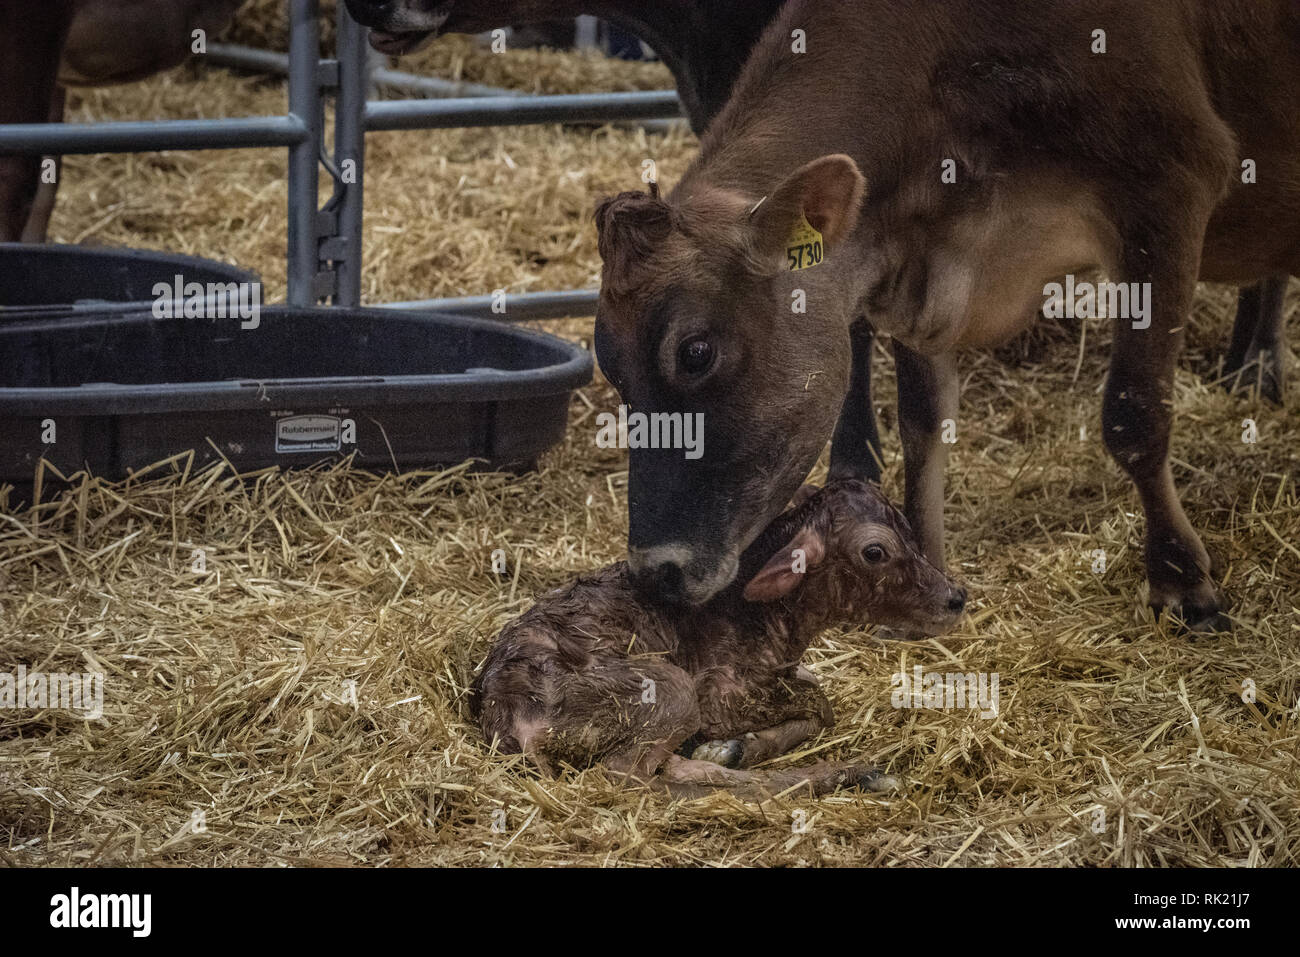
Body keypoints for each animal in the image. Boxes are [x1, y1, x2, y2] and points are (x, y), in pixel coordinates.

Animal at [590, 0, 1299, 631]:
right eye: (610, 368)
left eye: (695, 352)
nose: (654, 573)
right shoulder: (921, 266)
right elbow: (922, 424)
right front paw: (918, 578)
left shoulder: (1170, 185)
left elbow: (1136, 414)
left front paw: (1181, 582)